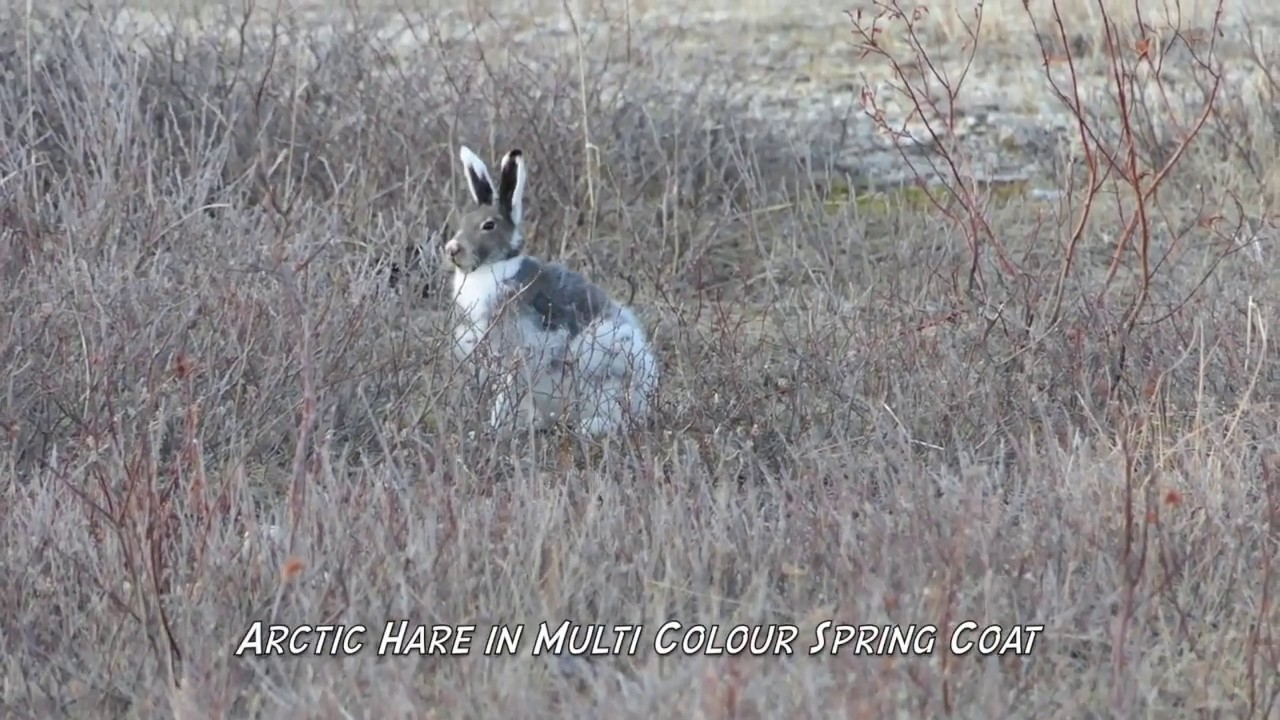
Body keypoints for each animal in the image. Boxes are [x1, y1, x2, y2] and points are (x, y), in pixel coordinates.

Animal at [442, 145, 660, 438]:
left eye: (488, 225)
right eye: (463, 221)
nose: (452, 249)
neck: (492, 268)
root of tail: (646, 395)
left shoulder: (516, 358)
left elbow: (504, 398)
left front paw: (492, 431)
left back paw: (588, 426)